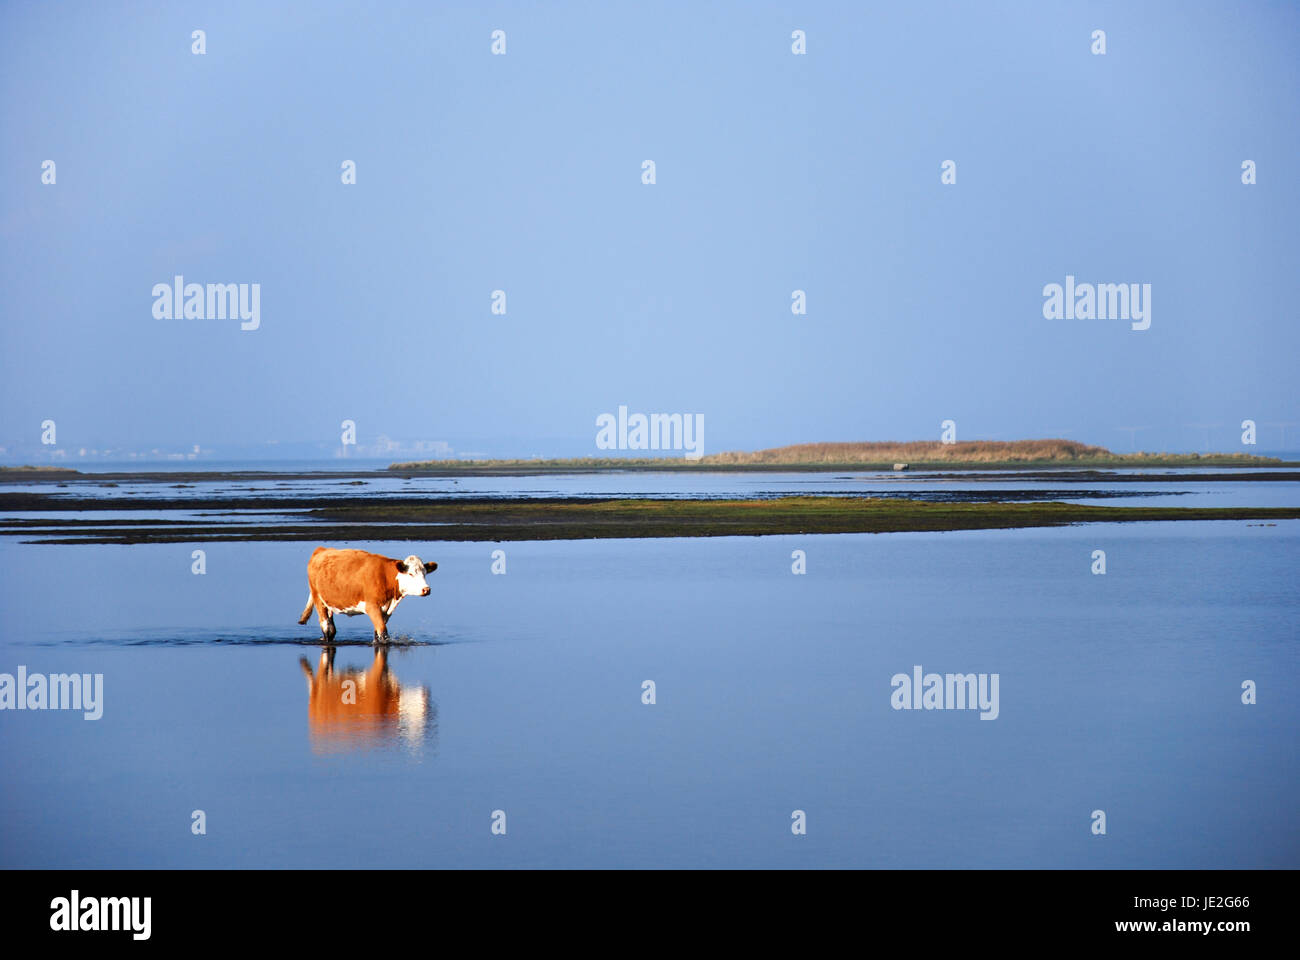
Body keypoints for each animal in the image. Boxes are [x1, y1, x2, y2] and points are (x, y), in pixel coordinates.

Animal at [297, 547, 437, 643]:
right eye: (411, 574)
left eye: (425, 573)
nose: (426, 589)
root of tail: (321, 550)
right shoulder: (372, 607)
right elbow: (383, 632)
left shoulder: (385, 611)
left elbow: (378, 633)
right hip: (318, 599)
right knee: (327, 628)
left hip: (329, 602)